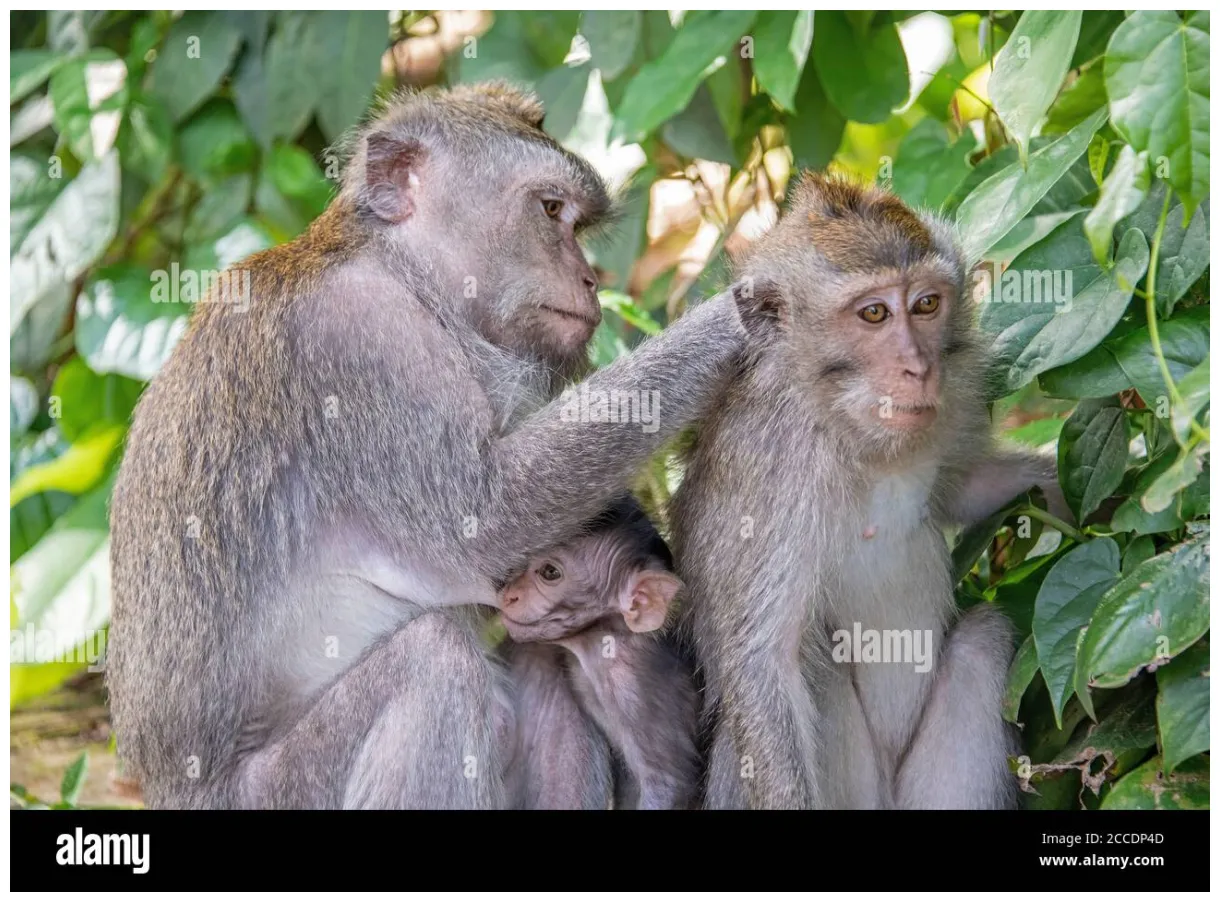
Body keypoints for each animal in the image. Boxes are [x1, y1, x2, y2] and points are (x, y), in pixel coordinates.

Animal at [671, 173, 1059, 810]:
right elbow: (764, 665)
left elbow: (959, 487)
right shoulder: (774, 469)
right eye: (873, 313)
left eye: (926, 304)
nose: (918, 368)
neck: (850, 433)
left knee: (982, 640)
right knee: (815, 663)